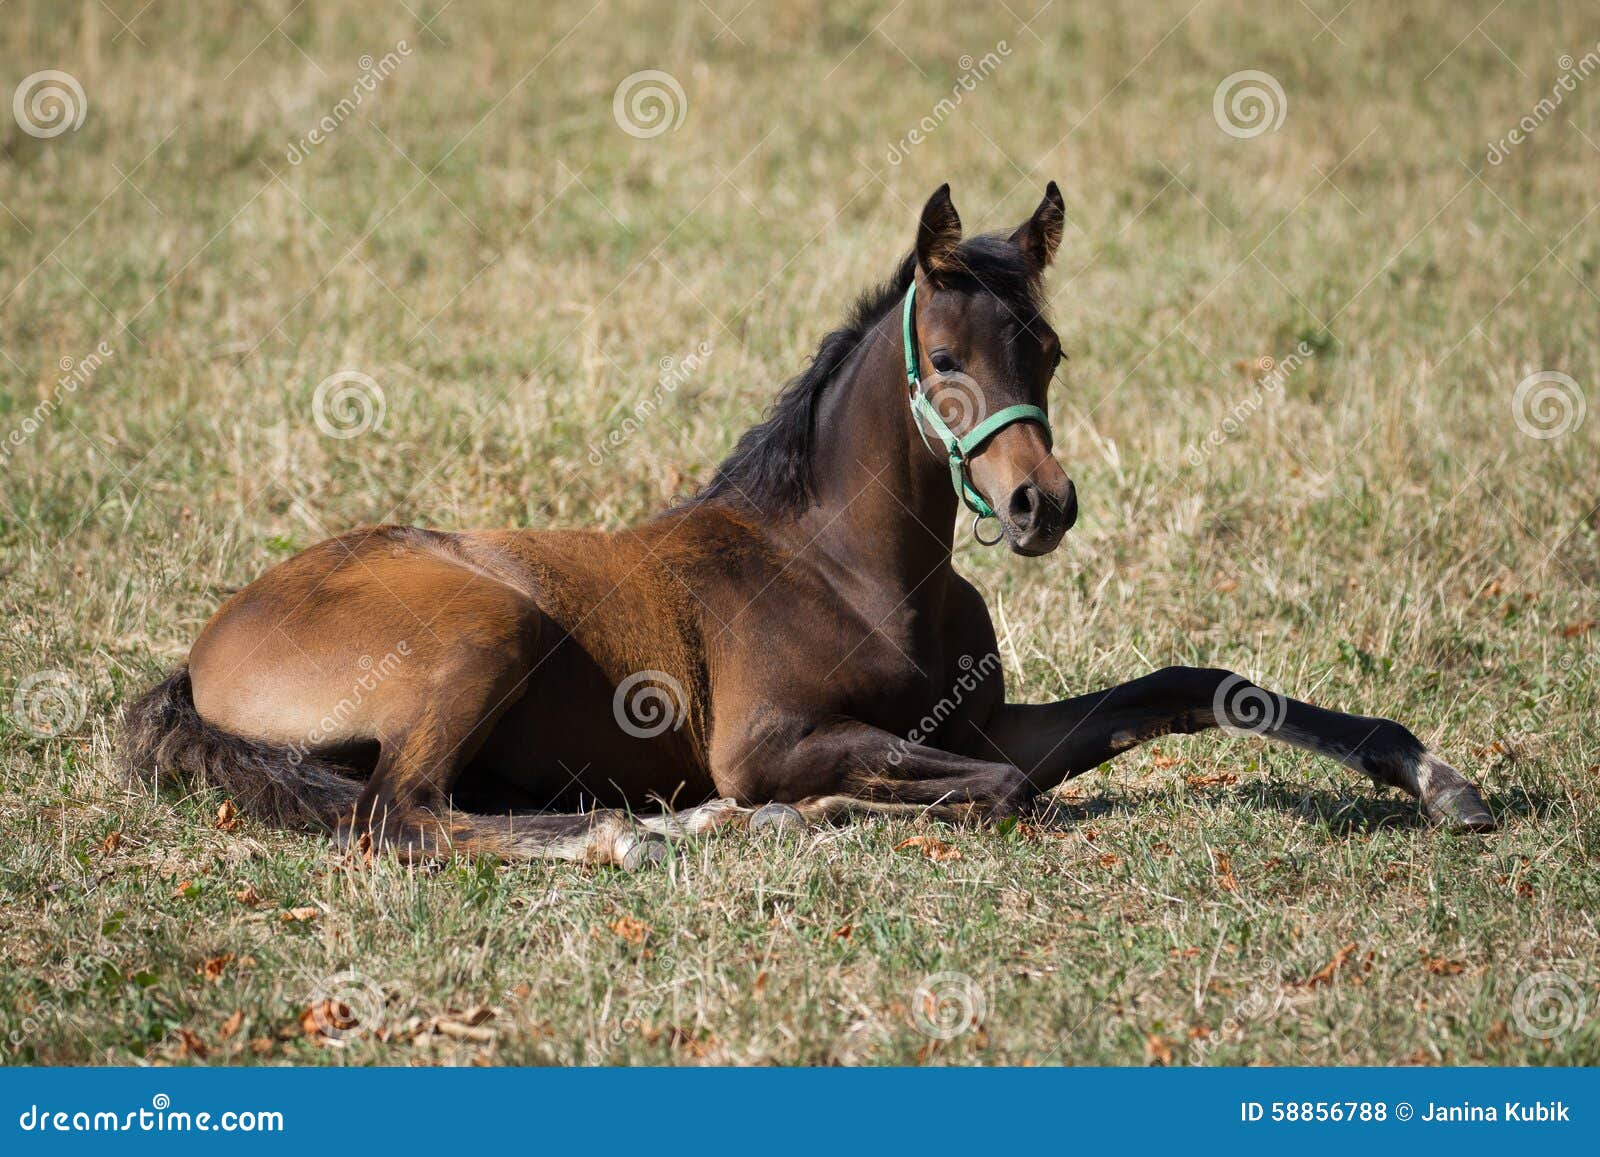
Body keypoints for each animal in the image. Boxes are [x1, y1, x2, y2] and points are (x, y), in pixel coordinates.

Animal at [122, 182, 1496, 869]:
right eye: (943, 356)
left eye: (1047, 349)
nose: (1038, 505)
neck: (853, 571)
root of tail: (202, 653)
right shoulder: (776, 738)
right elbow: (998, 790)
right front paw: (802, 813)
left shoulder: (987, 720)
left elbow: (1181, 687)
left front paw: (1439, 779)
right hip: (483, 630)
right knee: (401, 813)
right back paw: (649, 832)